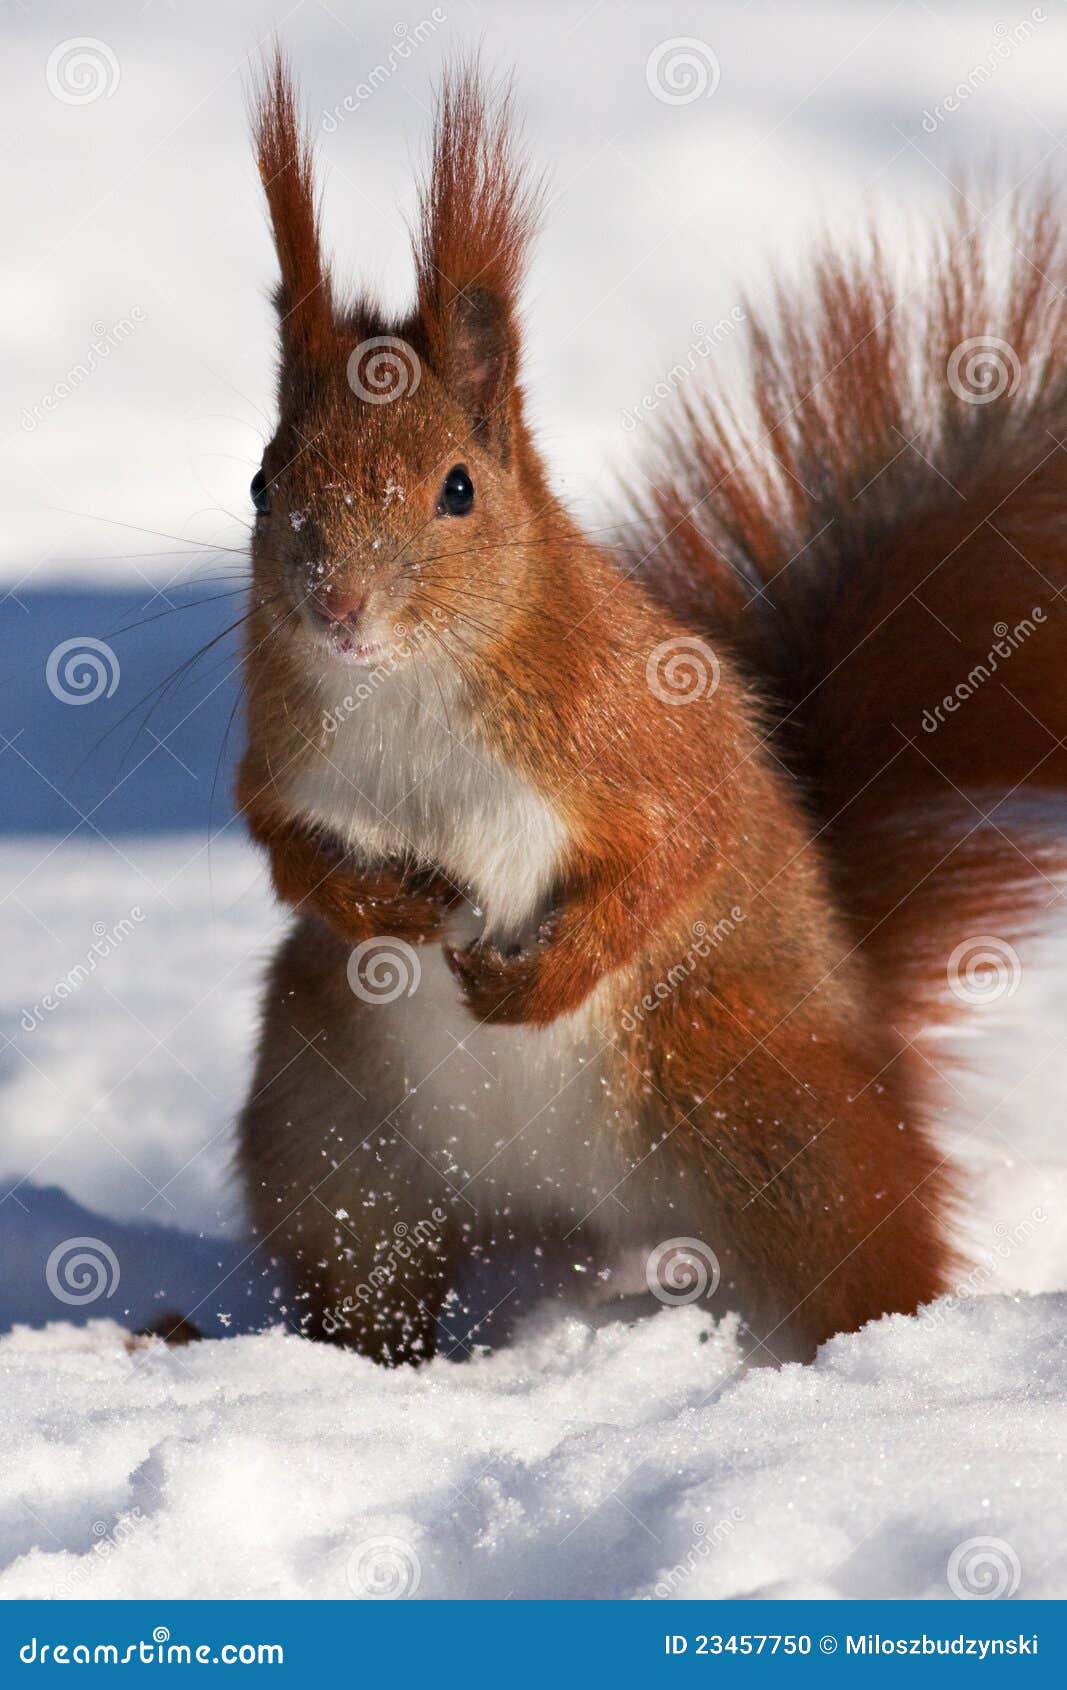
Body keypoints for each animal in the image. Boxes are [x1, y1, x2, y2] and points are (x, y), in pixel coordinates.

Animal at [235, 53, 1067, 1366]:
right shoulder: (277, 761)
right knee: (366, 1279)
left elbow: (670, 854)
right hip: (326, 1132)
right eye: (265, 482)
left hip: (772, 1112)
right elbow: (283, 846)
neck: (404, 682)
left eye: (457, 489)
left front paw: (532, 983)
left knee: (855, 1259)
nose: (336, 606)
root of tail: (569, 1209)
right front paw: (380, 903)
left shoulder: (643, 734)